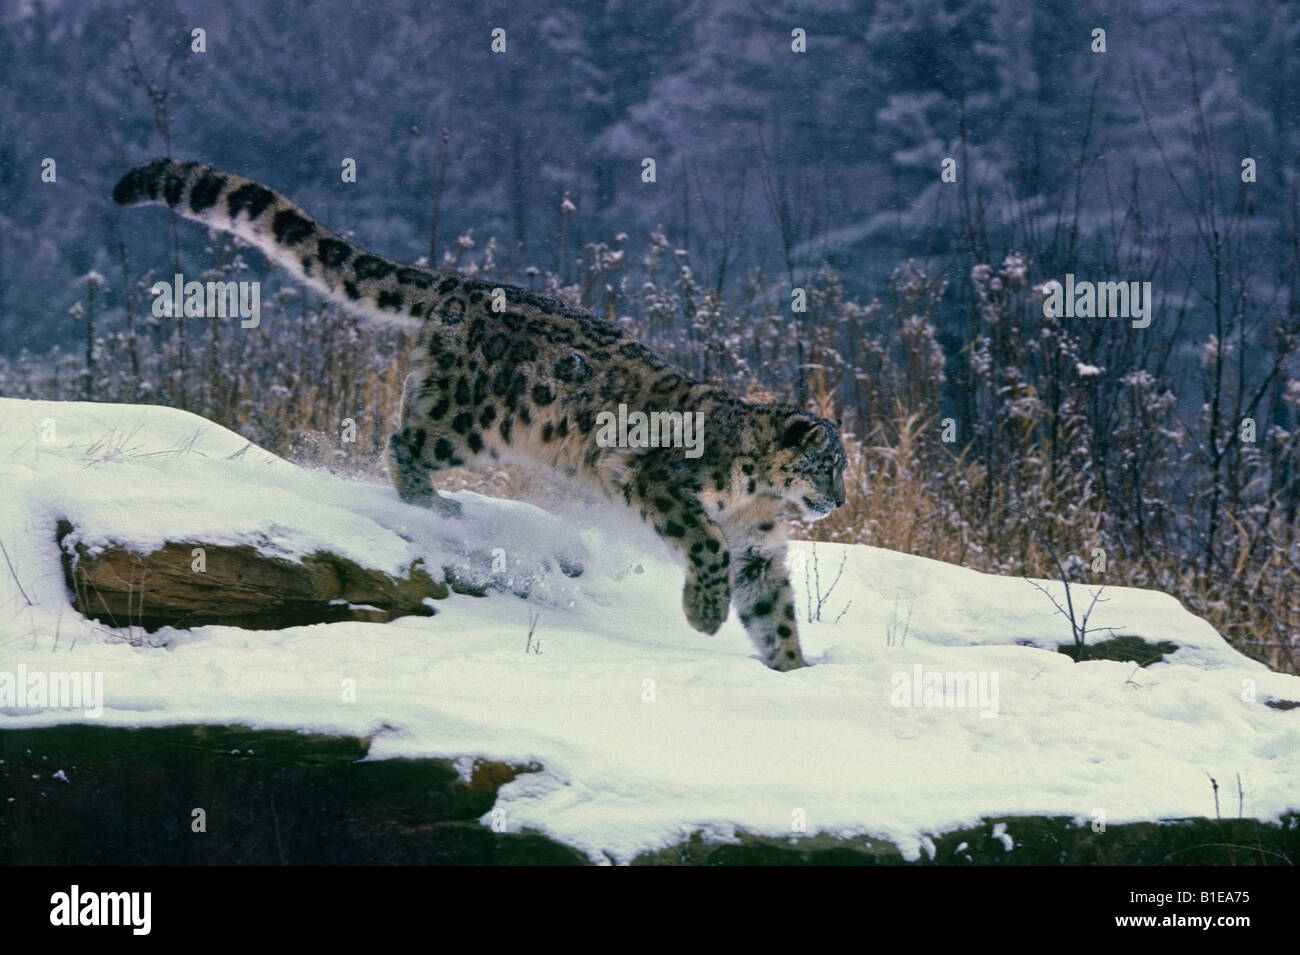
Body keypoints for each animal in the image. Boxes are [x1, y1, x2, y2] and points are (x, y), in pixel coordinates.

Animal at [114, 159, 847, 670]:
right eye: (828, 465)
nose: (839, 499)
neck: (757, 494)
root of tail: (457, 285)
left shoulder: (760, 545)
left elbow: (773, 608)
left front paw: (793, 669)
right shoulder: (657, 481)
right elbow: (707, 544)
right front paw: (704, 616)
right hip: (474, 421)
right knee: (402, 439)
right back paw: (432, 503)